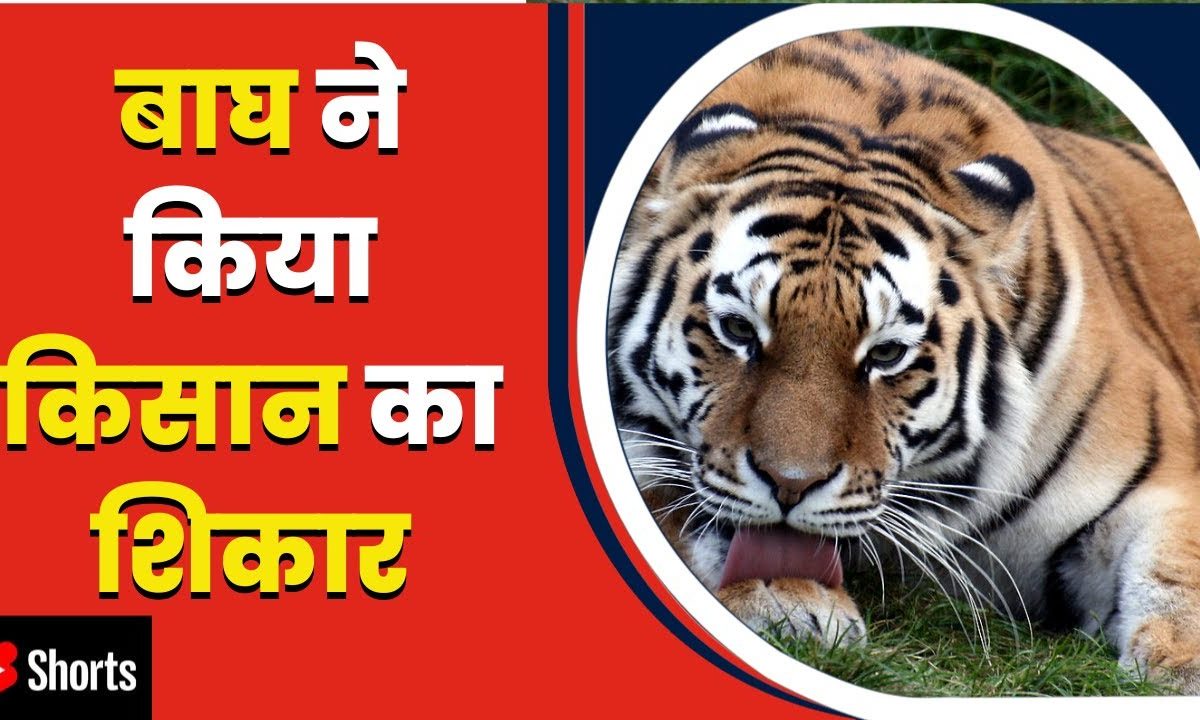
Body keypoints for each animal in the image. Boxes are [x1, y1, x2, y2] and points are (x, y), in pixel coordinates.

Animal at [607, 30, 1200, 693]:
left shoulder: (1157, 481)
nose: (791, 486)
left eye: (886, 354)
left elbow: (1180, 574)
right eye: (738, 330)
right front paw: (789, 599)